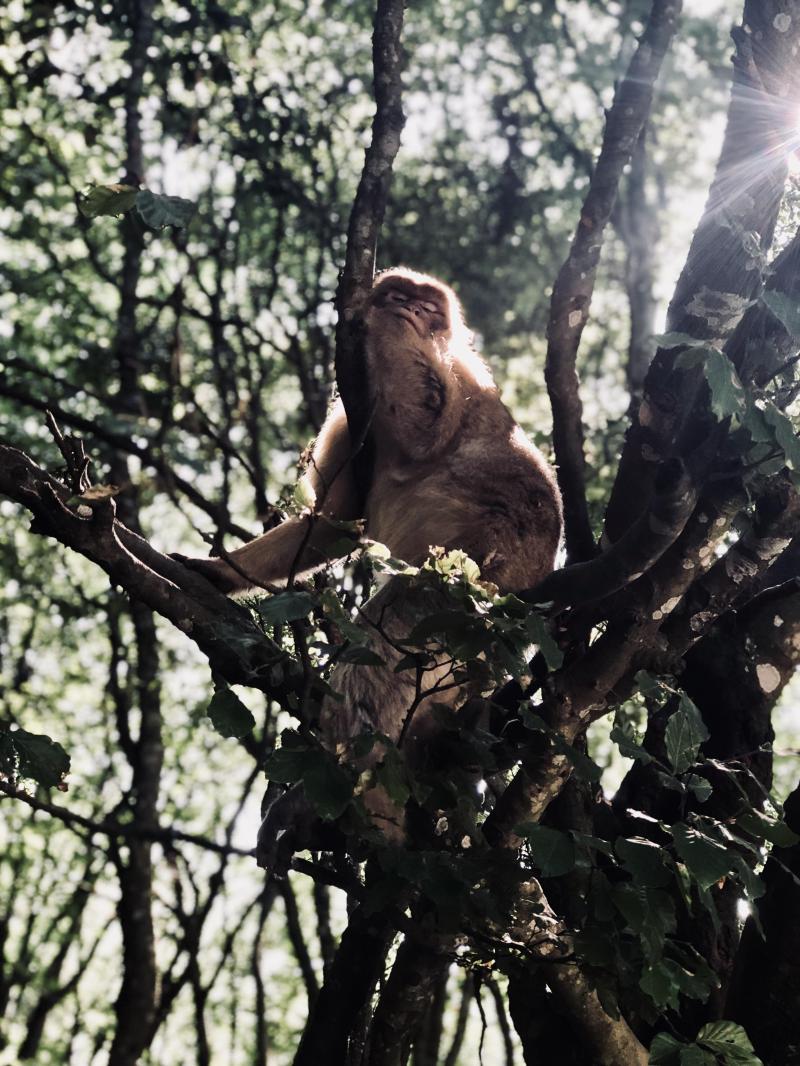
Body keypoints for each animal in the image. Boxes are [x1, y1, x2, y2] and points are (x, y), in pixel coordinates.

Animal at [180, 268, 563, 856]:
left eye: (428, 307)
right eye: (404, 295)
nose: (409, 308)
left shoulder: (463, 378)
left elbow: (427, 431)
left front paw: (381, 323)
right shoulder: (351, 418)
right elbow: (333, 525)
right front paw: (216, 572)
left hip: (473, 586)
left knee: (388, 638)